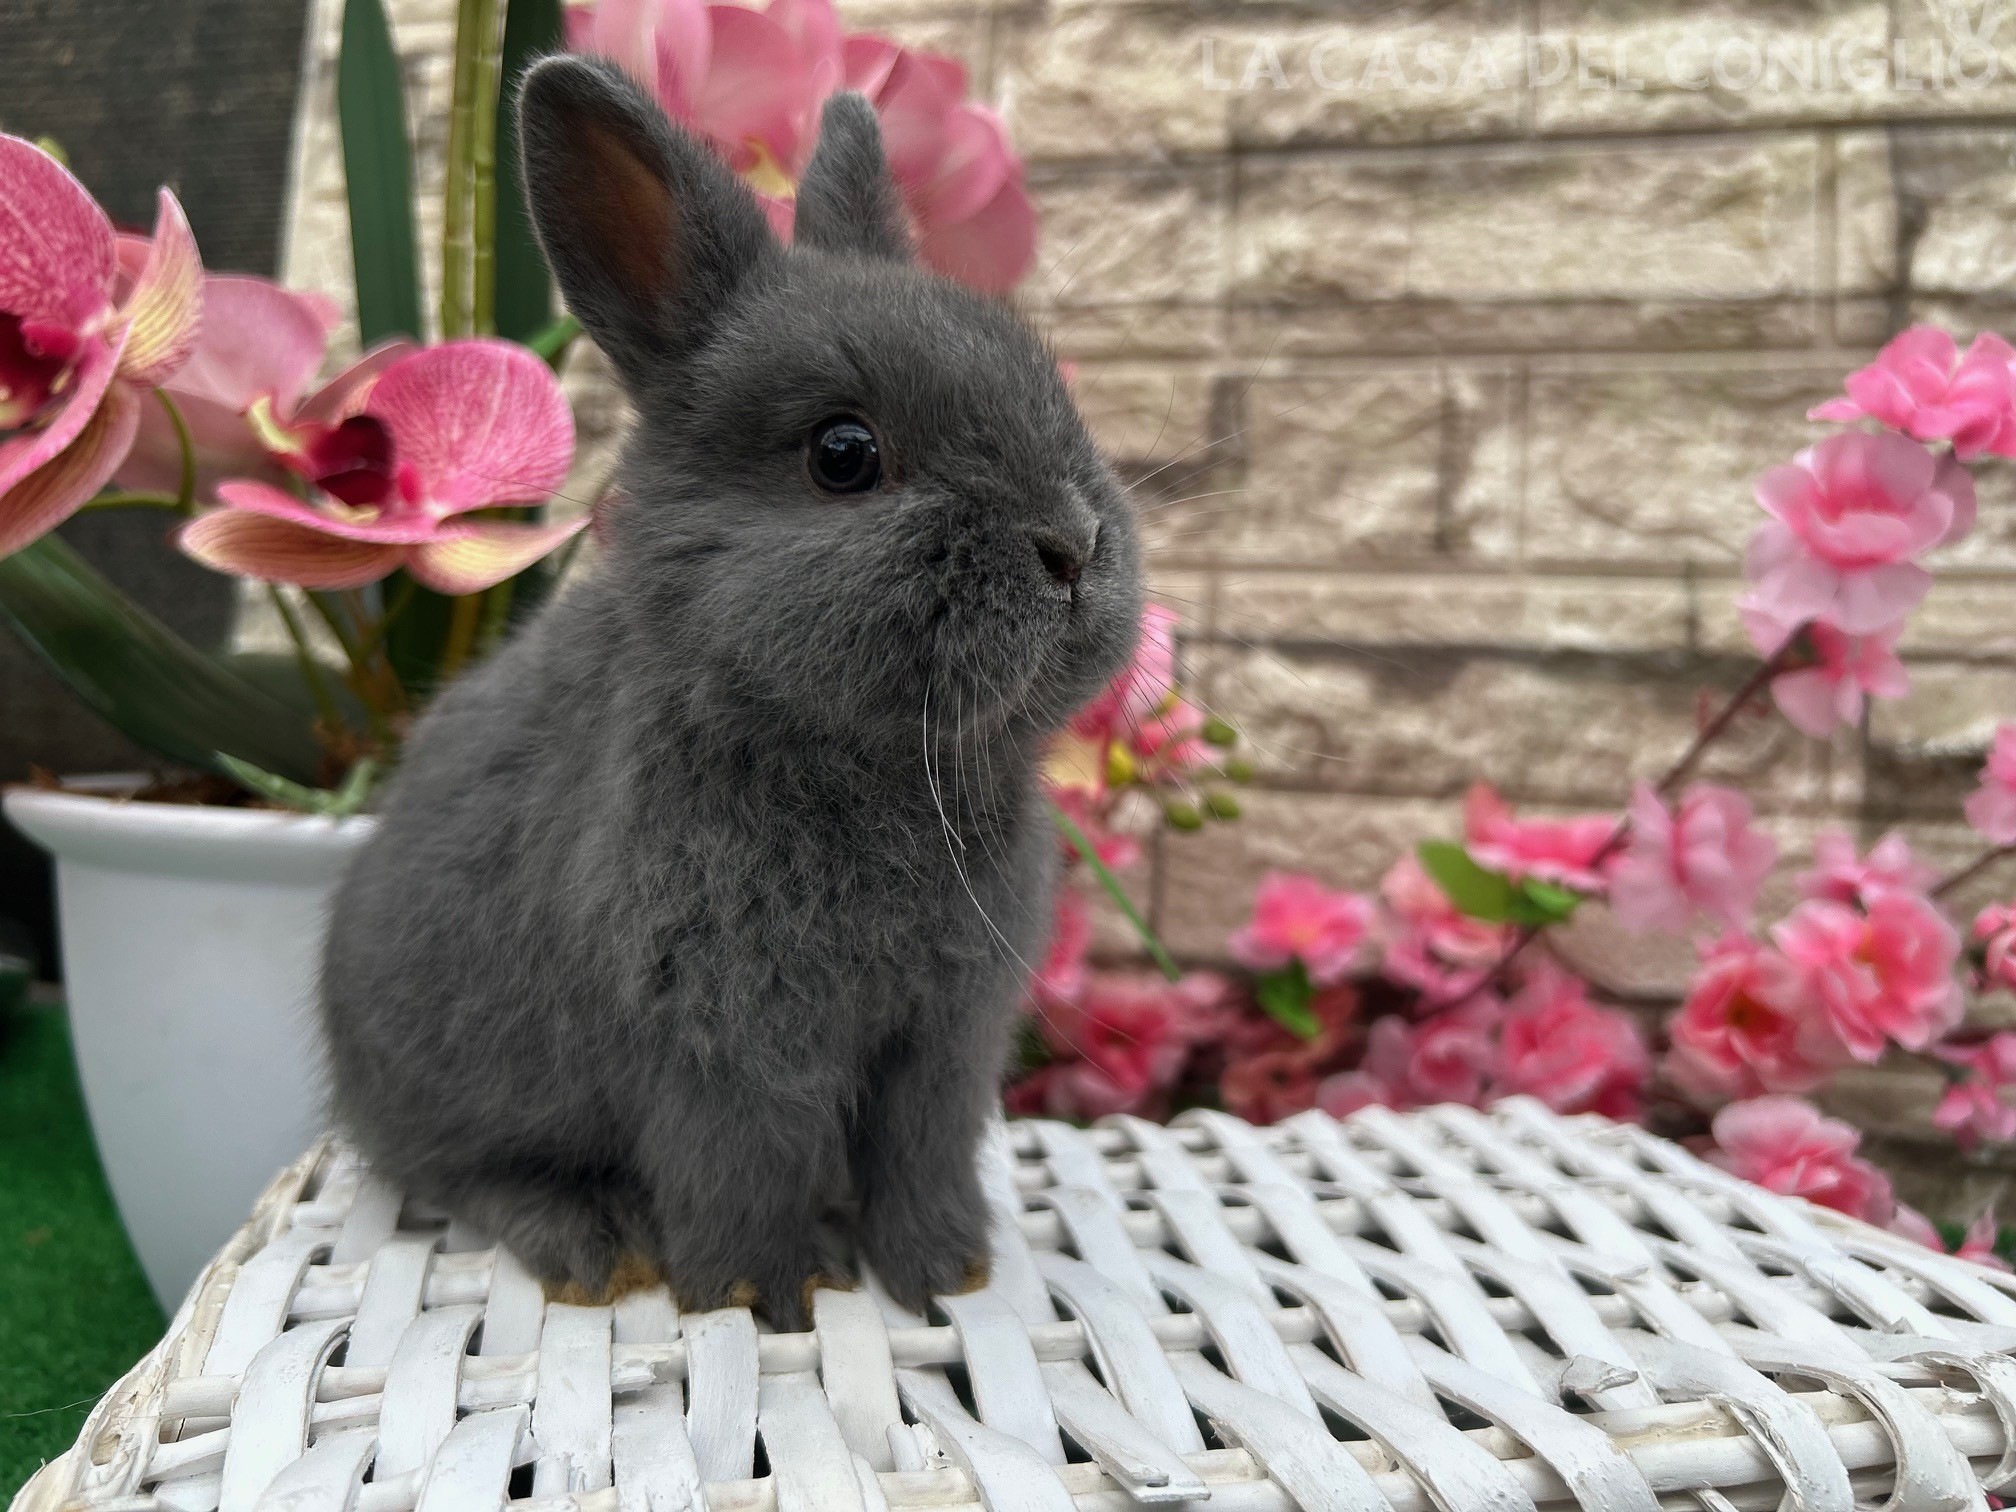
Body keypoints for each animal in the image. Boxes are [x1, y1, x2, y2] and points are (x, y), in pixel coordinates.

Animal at [318, 54, 1142, 1330]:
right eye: (844, 456)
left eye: (1055, 396)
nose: (1073, 543)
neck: (868, 765)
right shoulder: (727, 1050)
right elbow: (740, 1172)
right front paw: (766, 1296)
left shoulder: (941, 1041)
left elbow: (922, 1156)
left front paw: (947, 1271)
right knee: (464, 1174)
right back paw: (593, 1246)